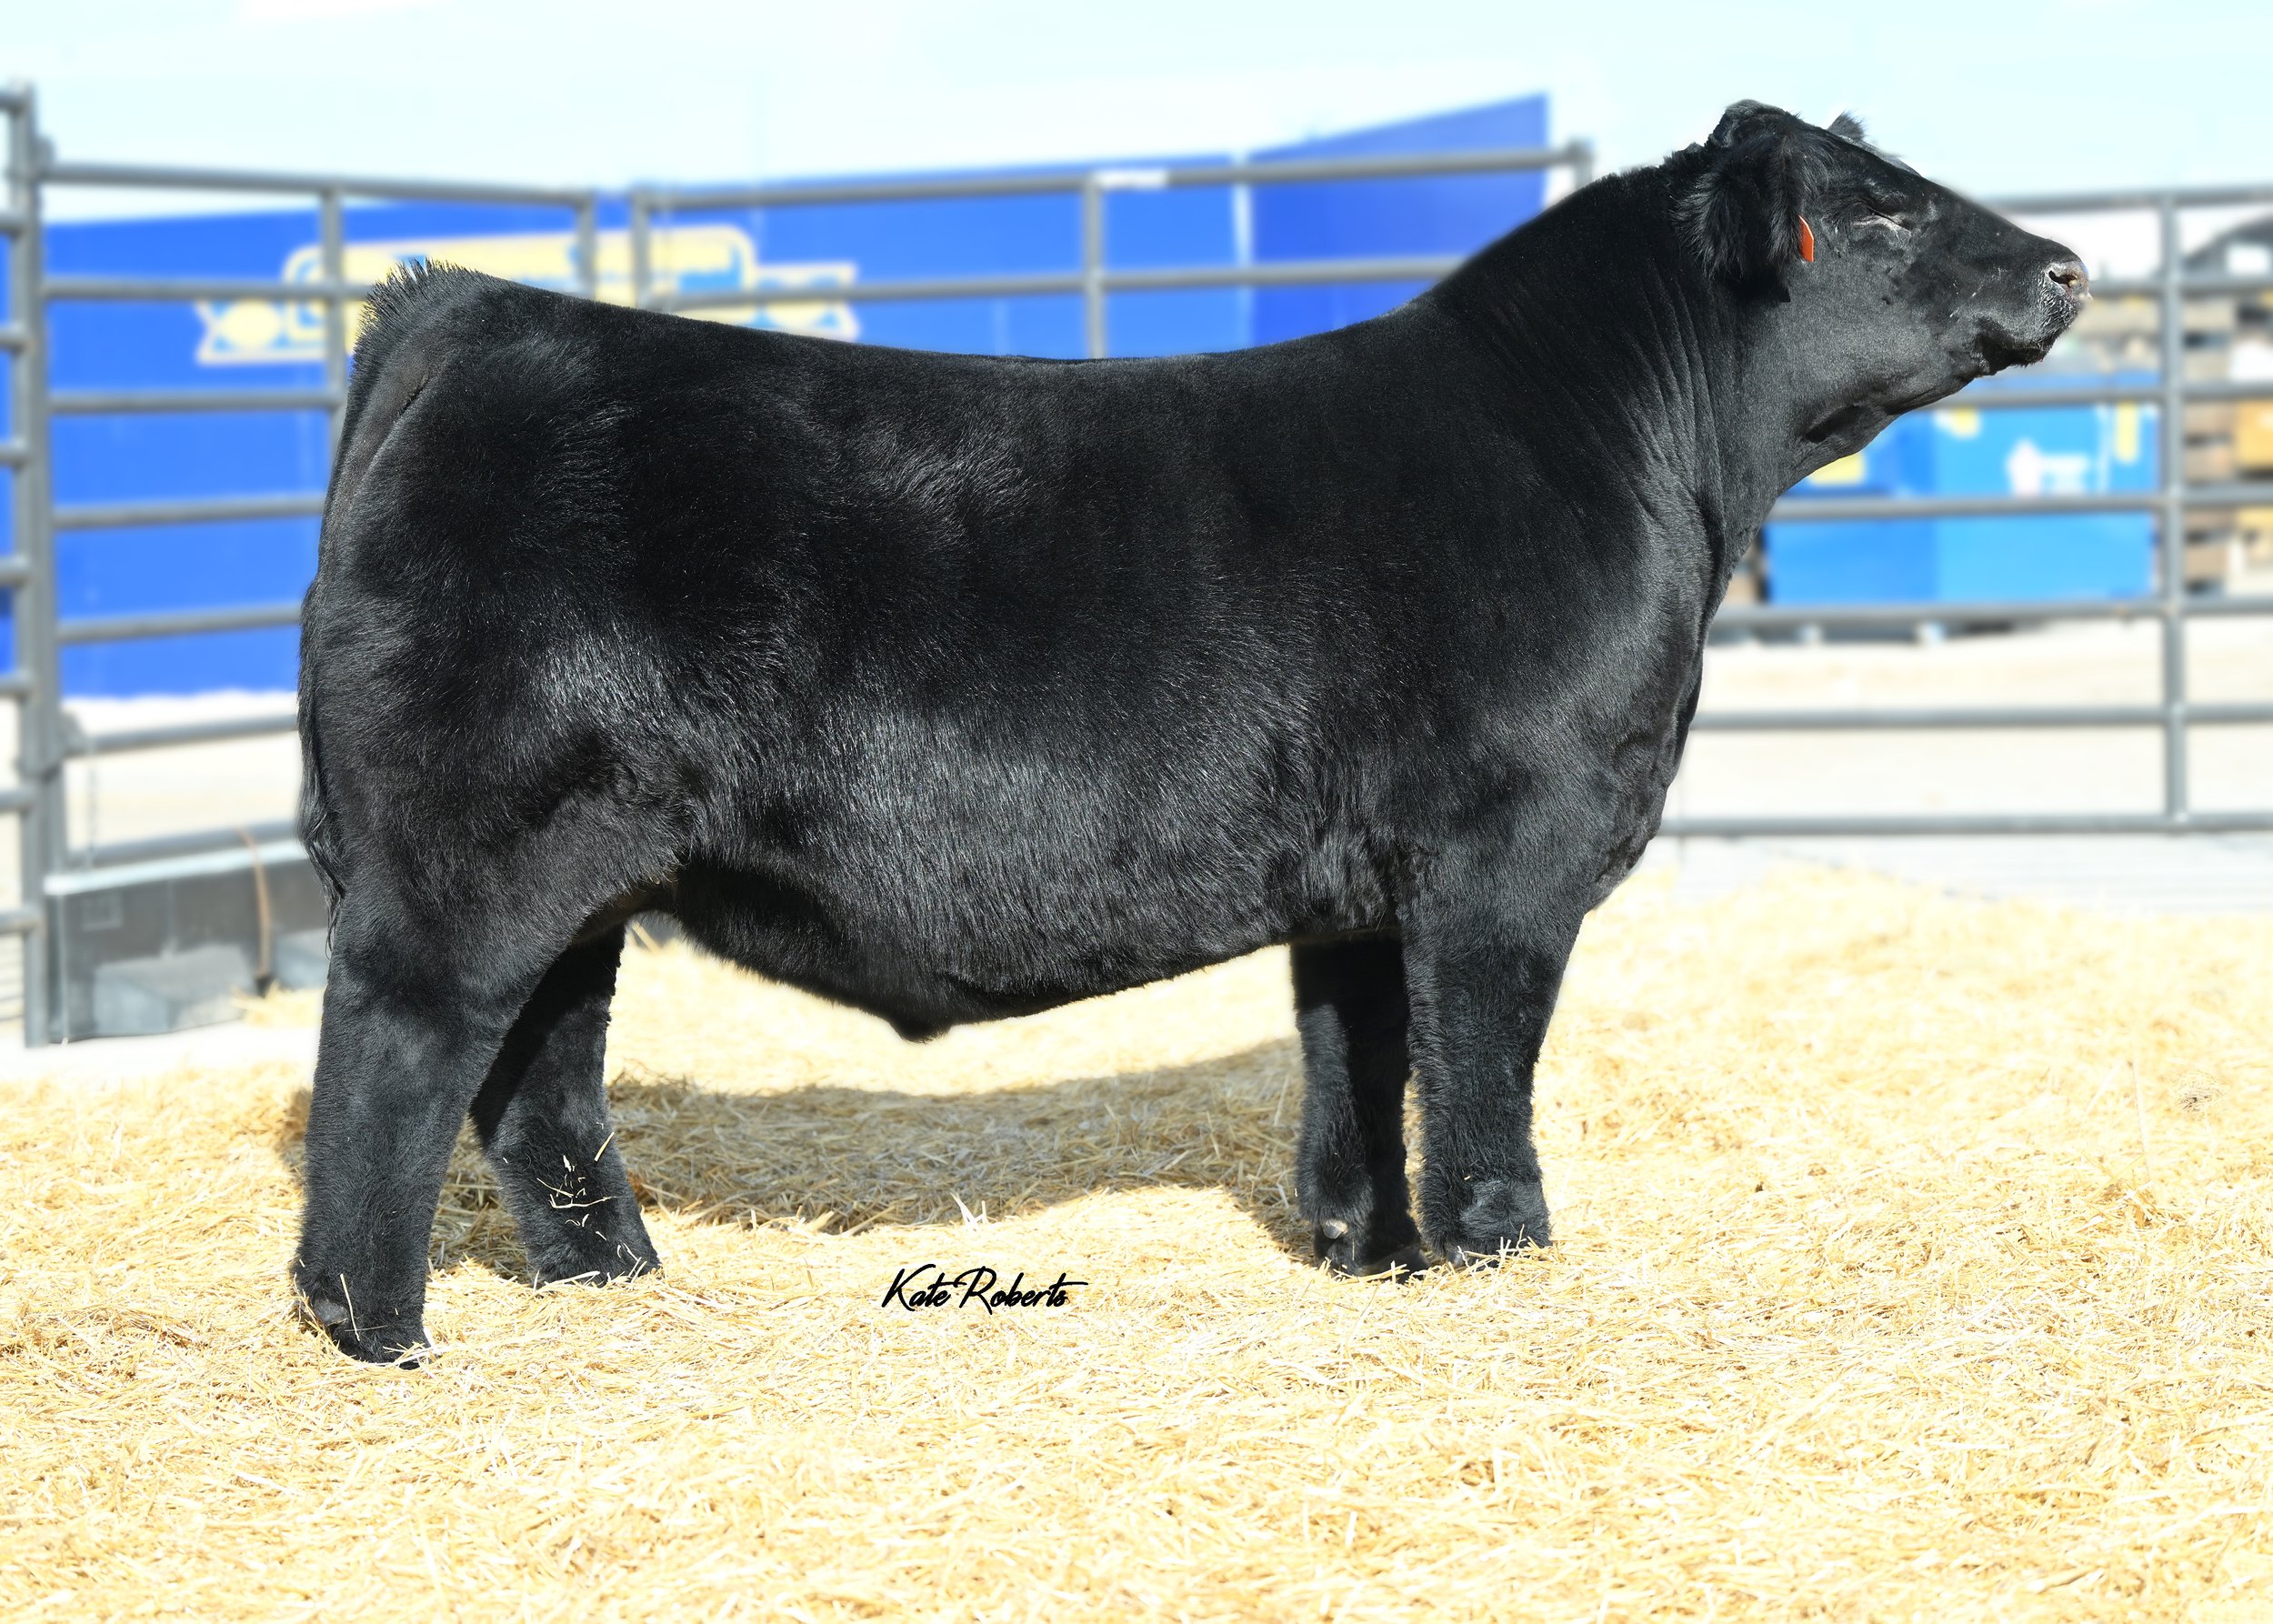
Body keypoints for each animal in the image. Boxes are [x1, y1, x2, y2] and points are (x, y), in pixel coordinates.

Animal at [290, 103, 2086, 1362]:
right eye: (1883, 207)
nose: (2067, 265)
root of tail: (462, 313)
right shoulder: (1504, 856)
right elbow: (1481, 1071)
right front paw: (1503, 1254)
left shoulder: (1361, 885)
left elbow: (1362, 1063)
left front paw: (1374, 1253)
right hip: (467, 857)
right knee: (398, 1055)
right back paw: (378, 1327)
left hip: (587, 871)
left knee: (538, 1077)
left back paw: (615, 1282)